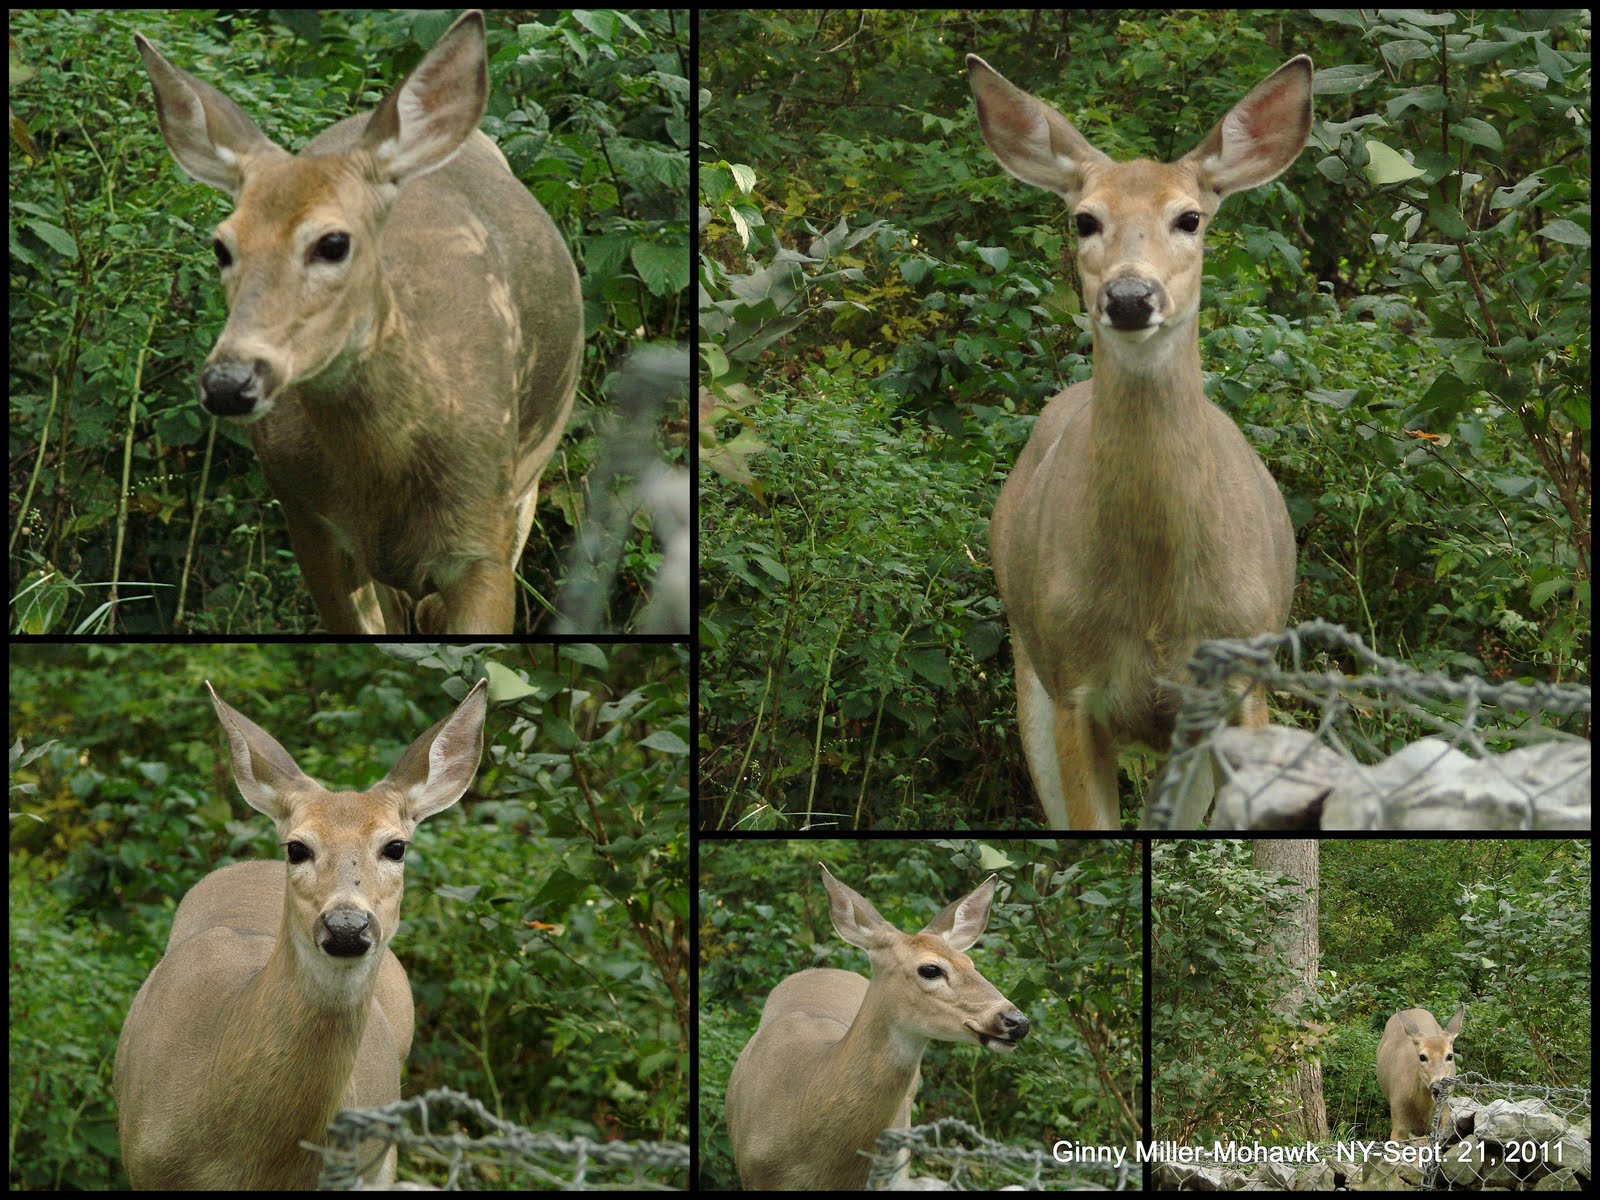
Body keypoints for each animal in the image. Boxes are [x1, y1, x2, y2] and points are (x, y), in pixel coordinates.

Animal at [136, 12, 583, 633]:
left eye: (333, 242)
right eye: (222, 246)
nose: (229, 382)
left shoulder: (484, 535)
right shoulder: (308, 521)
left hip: (526, 487)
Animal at [968, 55, 1312, 829]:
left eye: (1189, 217)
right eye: (1084, 218)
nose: (1129, 297)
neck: (1156, 601)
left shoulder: (1241, 686)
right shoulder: (1074, 688)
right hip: (1028, 664)